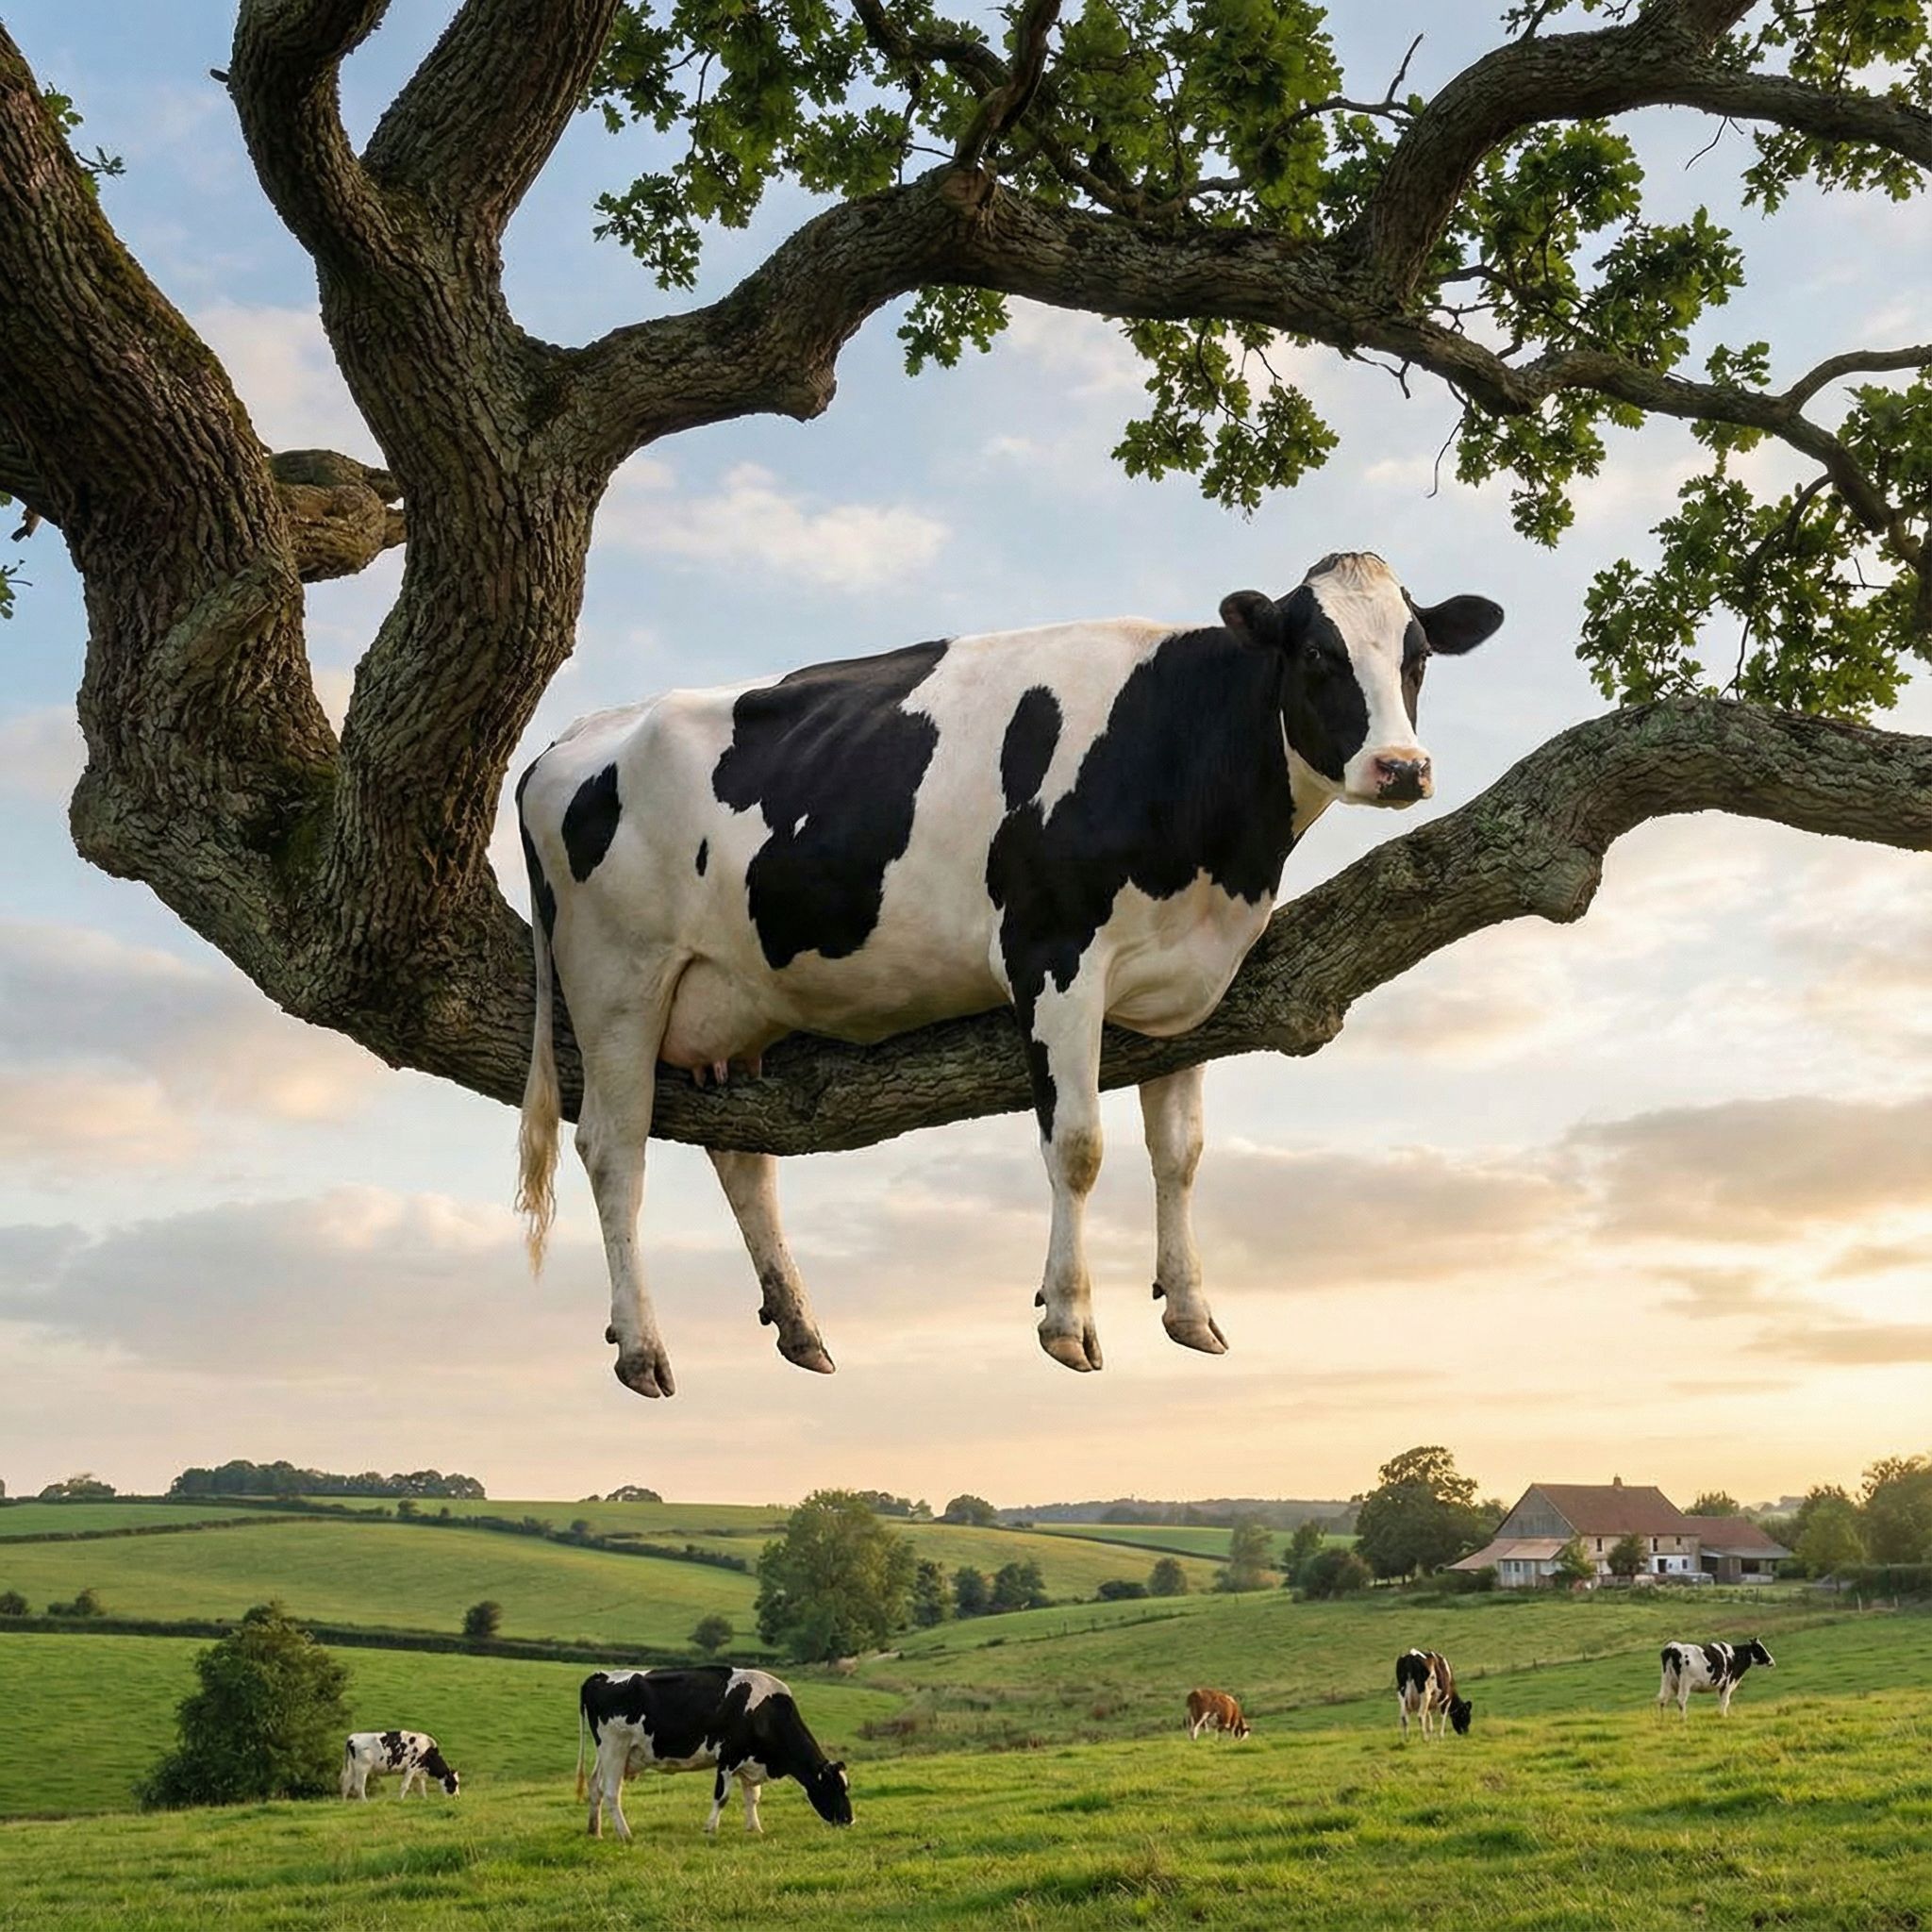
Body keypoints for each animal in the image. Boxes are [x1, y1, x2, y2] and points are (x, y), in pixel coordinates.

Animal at [515, 552, 1503, 1396]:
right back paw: (641, 1345)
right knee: (615, 1149)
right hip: (617, 978)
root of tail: (571, 736)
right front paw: (1068, 1319)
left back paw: (798, 1326)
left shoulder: (1186, 988)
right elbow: (1079, 1146)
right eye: (1316, 653)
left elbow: (1180, 1157)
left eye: (1415, 655)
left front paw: (1189, 1308)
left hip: (737, 1000)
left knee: (744, 1160)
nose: (1402, 768)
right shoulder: (1053, 957)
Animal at [576, 1665, 852, 1840]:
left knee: (595, 1786)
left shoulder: (750, 1760)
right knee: (611, 1792)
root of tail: (600, 1676)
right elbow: (722, 1797)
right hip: (615, 1747)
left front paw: (755, 1828)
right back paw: (625, 1834)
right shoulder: (728, 1758)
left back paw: (594, 1831)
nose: (850, 1820)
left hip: (607, 1752)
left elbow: (752, 1797)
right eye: (834, 1788)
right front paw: (710, 1828)